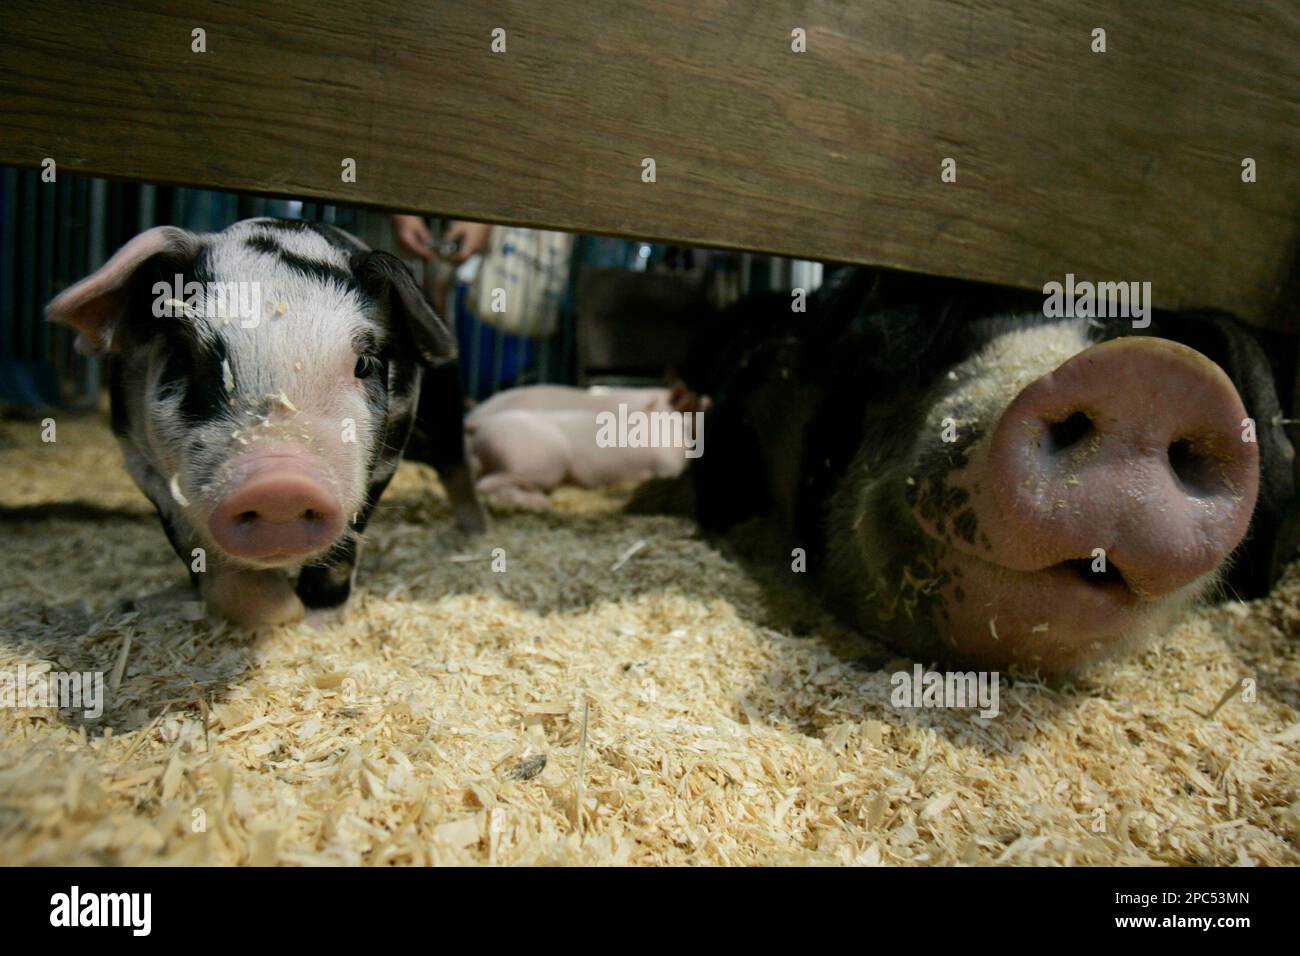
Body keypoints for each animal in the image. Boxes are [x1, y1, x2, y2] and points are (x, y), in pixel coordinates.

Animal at [46, 217, 486, 628]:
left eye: (363, 363)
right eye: (184, 357)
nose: (280, 486)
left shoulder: (387, 452)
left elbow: (343, 547)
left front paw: (313, 622)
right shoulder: (139, 458)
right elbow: (200, 555)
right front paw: (282, 611)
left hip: (444, 405)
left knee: (456, 462)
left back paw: (476, 532)